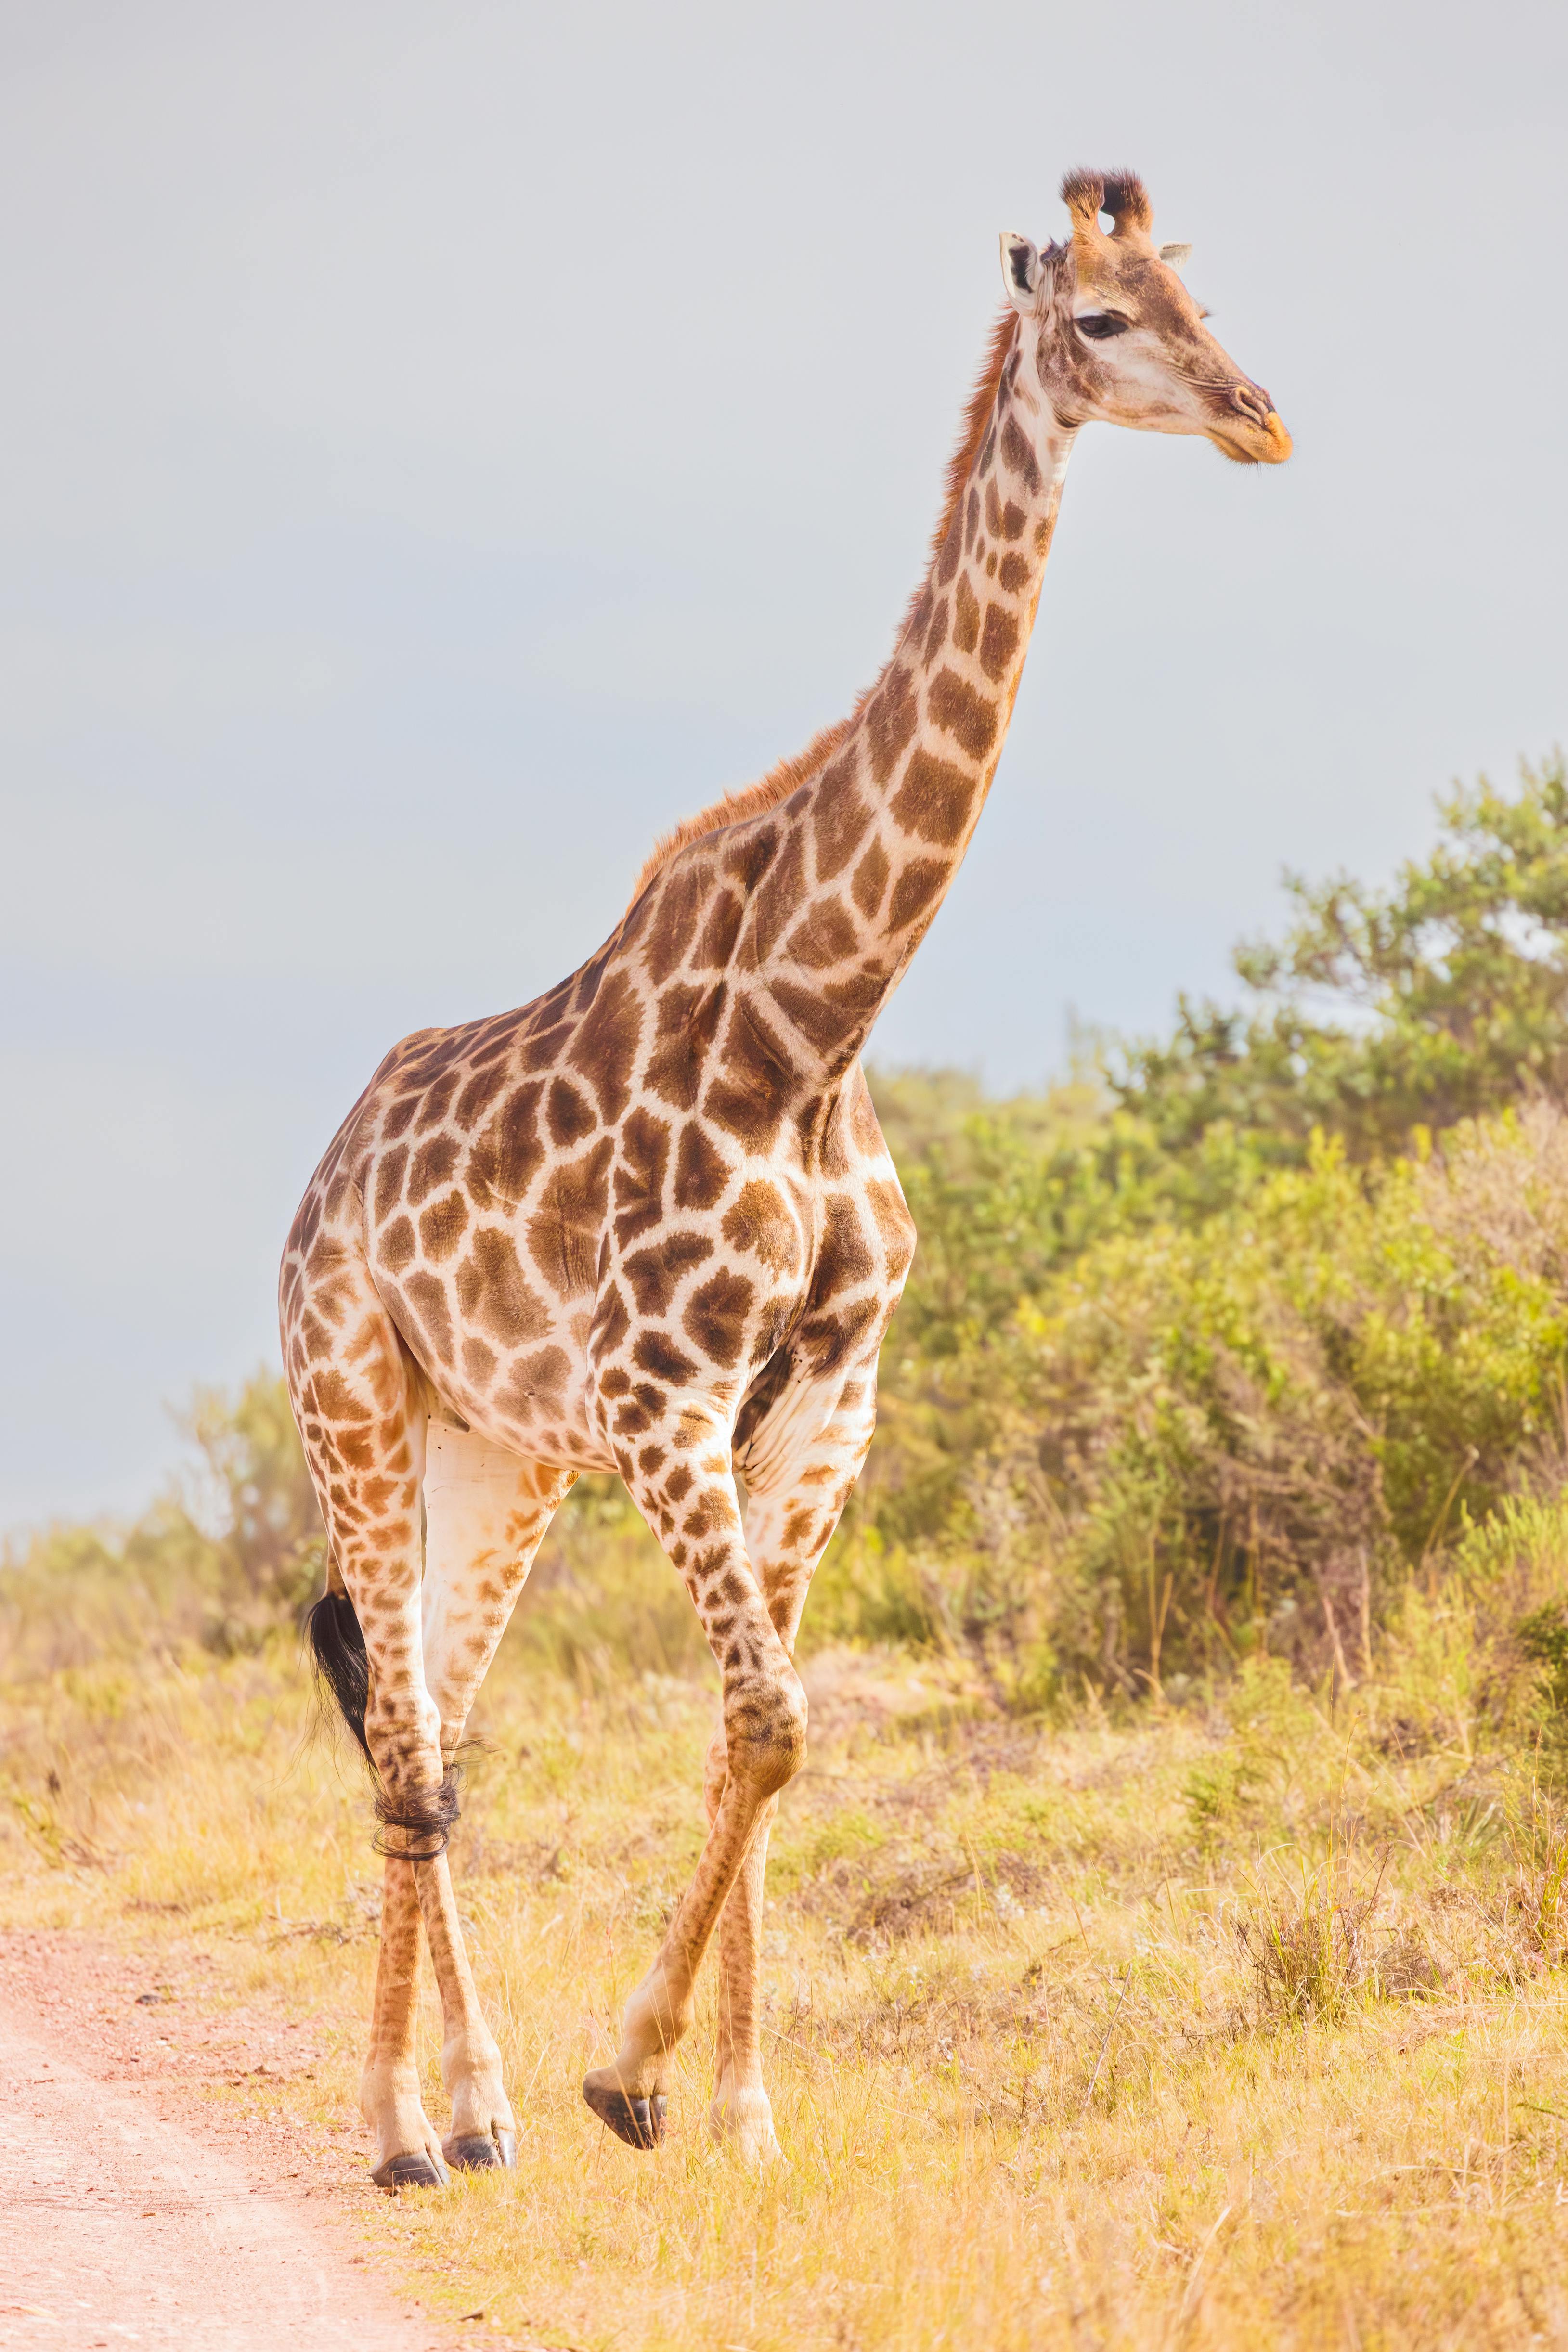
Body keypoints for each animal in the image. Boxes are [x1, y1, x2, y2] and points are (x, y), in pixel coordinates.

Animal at [280, 167, 1289, 2186]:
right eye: (1103, 320)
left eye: (1197, 294)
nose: (1258, 417)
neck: (809, 1021)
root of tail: (319, 1183)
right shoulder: (662, 1394)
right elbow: (769, 1715)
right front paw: (632, 2073)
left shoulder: (826, 1394)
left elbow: (755, 1734)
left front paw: (729, 2104)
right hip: (353, 1399)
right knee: (408, 1736)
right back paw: (402, 2127)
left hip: (495, 1453)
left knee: (442, 1717)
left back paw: (477, 2106)